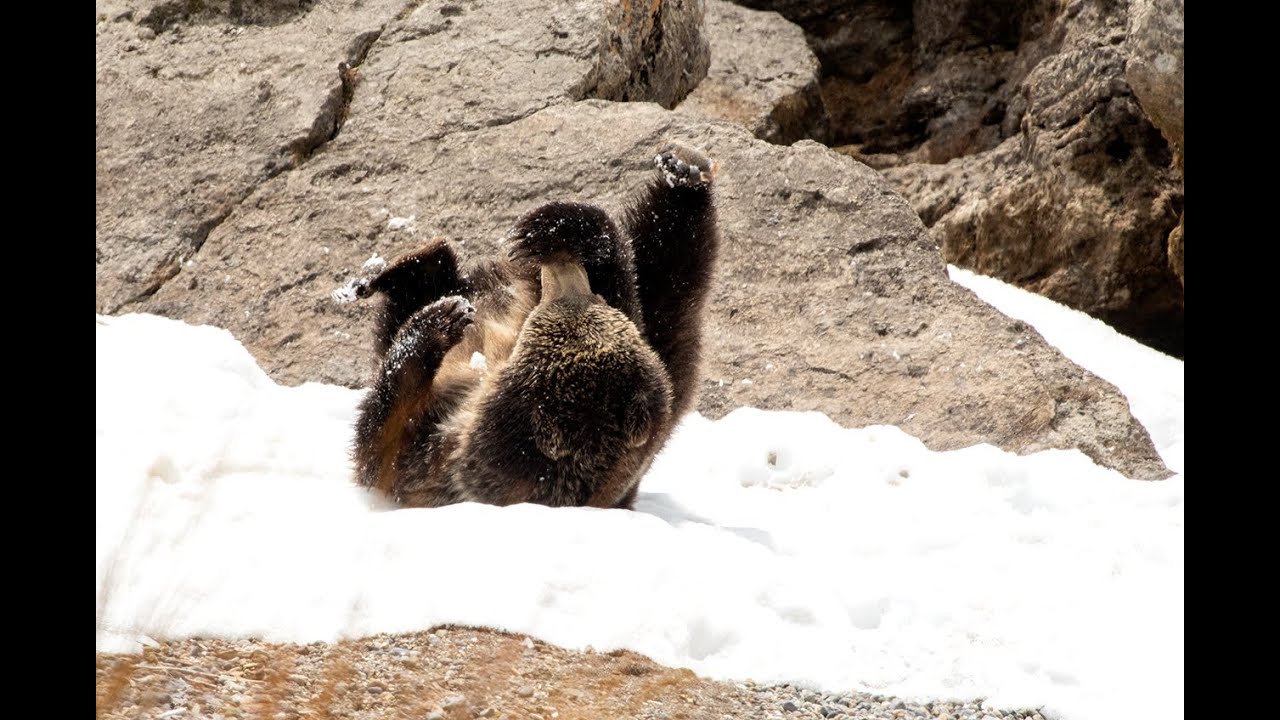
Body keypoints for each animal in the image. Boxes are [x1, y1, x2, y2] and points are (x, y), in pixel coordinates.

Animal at [347, 141, 720, 510]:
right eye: (594, 303)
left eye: (559, 309)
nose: (562, 269)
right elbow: (625, 275)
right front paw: (553, 227)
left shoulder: (434, 457)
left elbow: (378, 446)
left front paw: (440, 321)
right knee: (668, 277)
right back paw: (685, 170)